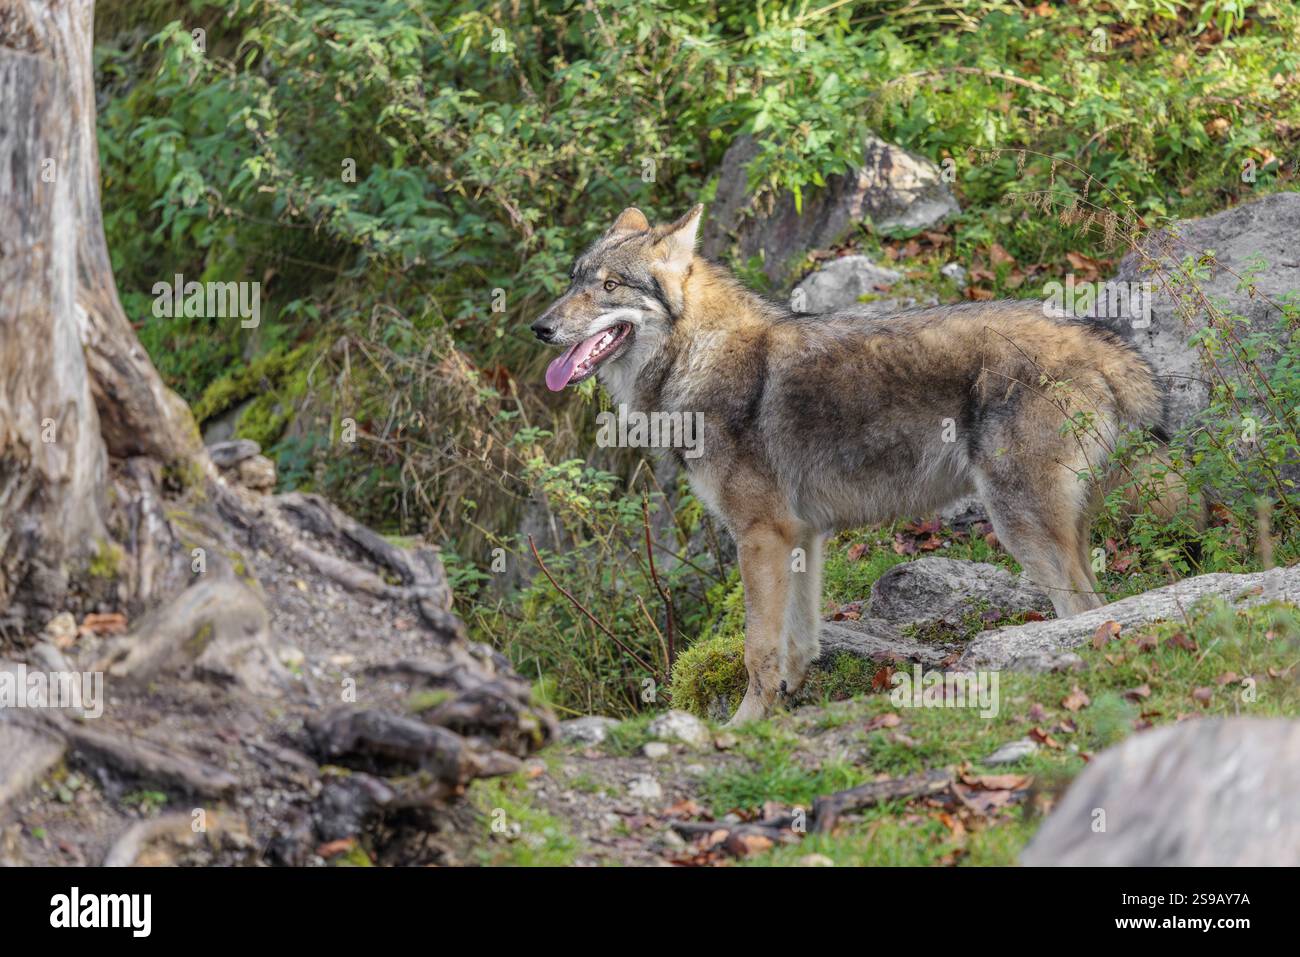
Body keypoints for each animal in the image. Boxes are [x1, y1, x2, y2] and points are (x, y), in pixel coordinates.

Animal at [532, 204, 1174, 723]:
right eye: (573, 281)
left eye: (610, 285)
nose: (540, 327)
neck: (696, 360)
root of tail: (1102, 340)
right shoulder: (800, 537)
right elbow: (796, 645)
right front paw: (784, 707)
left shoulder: (760, 536)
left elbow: (757, 650)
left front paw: (739, 728)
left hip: (1020, 526)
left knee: (1086, 611)